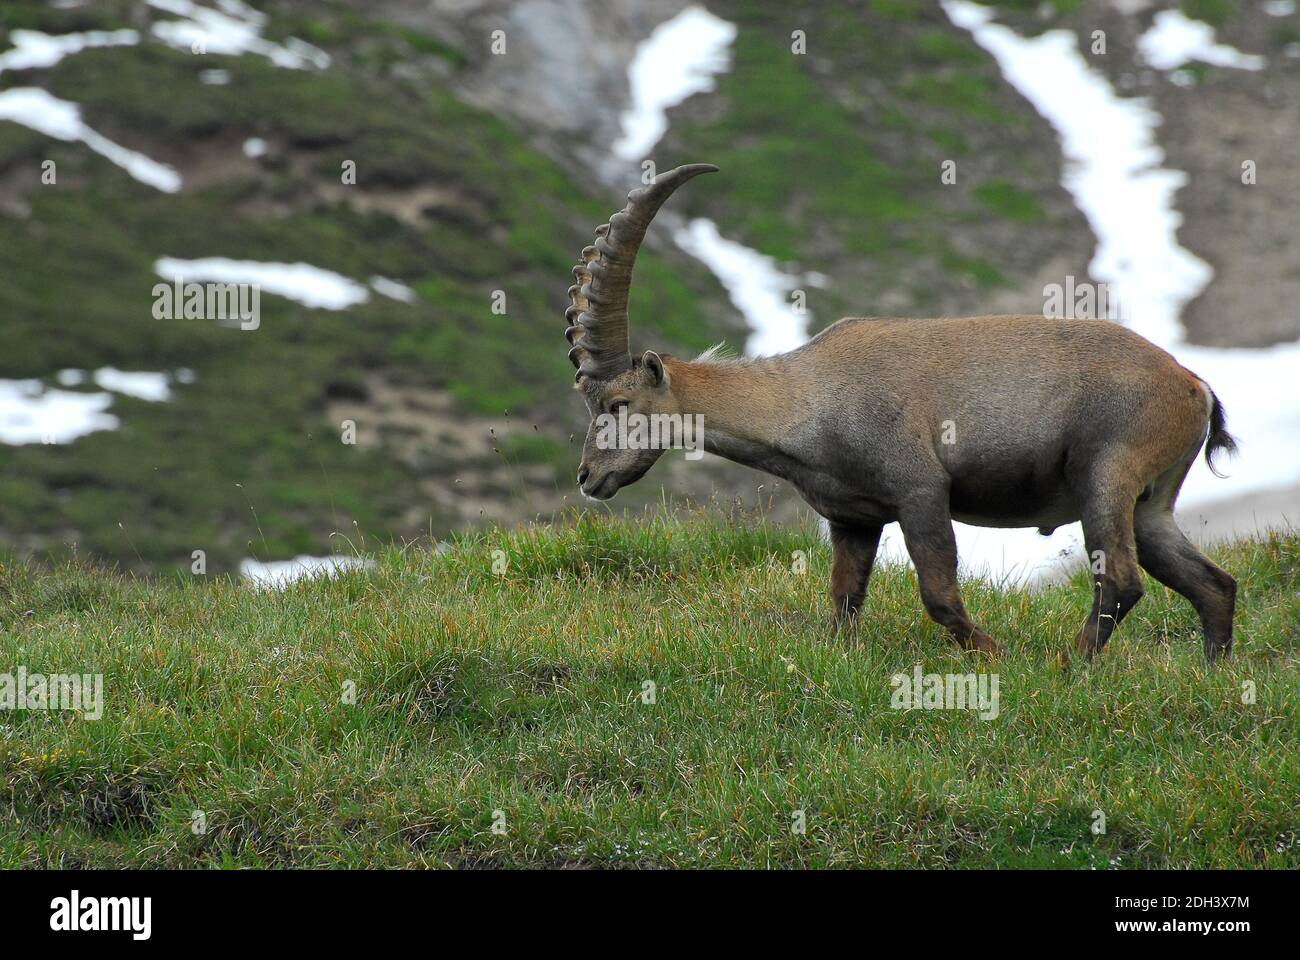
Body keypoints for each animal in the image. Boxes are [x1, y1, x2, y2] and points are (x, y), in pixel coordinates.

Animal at [565, 164, 1238, 661]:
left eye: (618, 404)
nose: (588, 477)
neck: (808, 397)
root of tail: (1194, 386)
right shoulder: (854, 519)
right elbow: (843, 601)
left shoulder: (919, 489)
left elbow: (938, 592)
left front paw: (993, 655)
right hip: (1152, 500)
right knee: (1212, 583)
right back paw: (1214, 670)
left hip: (1106, 473)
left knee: (1122, 579)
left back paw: (1067, 664)